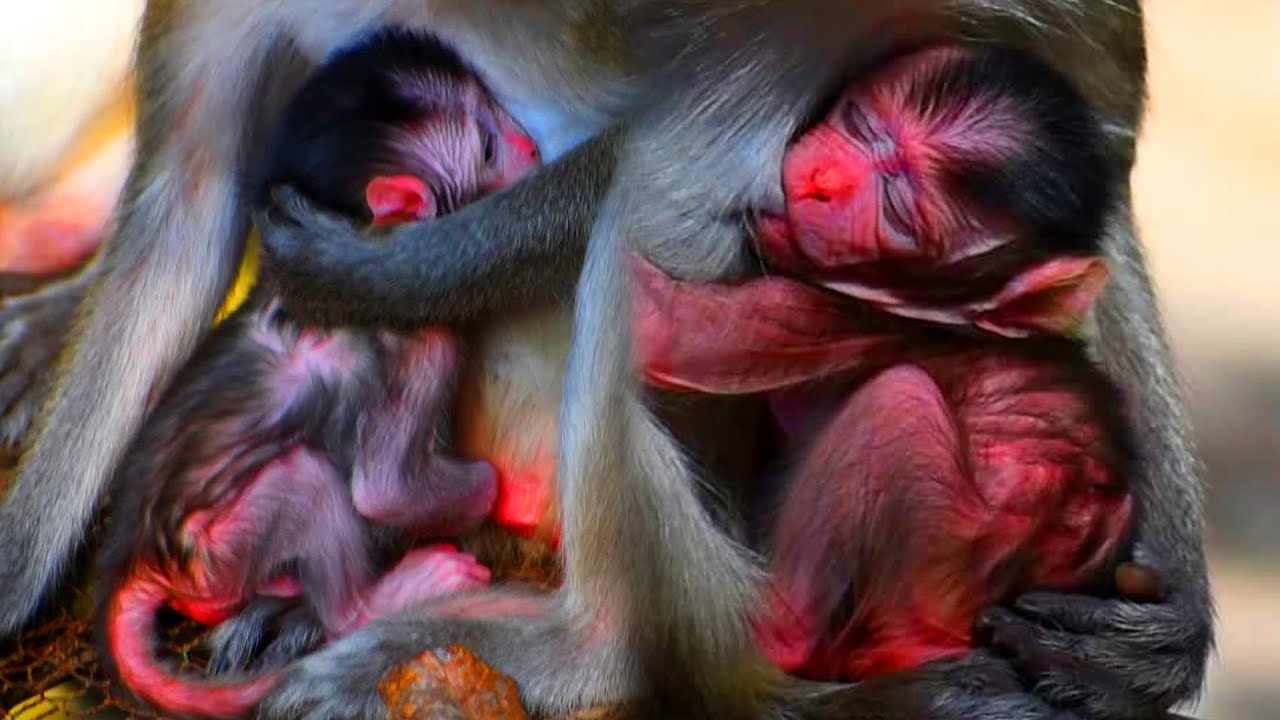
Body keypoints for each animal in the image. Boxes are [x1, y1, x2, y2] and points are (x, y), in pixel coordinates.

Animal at [96, 30, 549, 718]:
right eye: (490, 148)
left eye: (498, 112)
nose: (529, 145)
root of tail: (140, 558)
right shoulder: (425, 339)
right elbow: (386, 490)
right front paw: (491, 492)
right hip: (217, 556)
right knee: (307, 480)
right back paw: (377, 598)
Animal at [627, 45, 1136, 682]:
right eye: (861, 126)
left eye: (896, 212)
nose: (822, 183)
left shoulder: (852, 316)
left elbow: (670, 331)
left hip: (942, 560)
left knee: (896, 402)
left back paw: (775, 629)